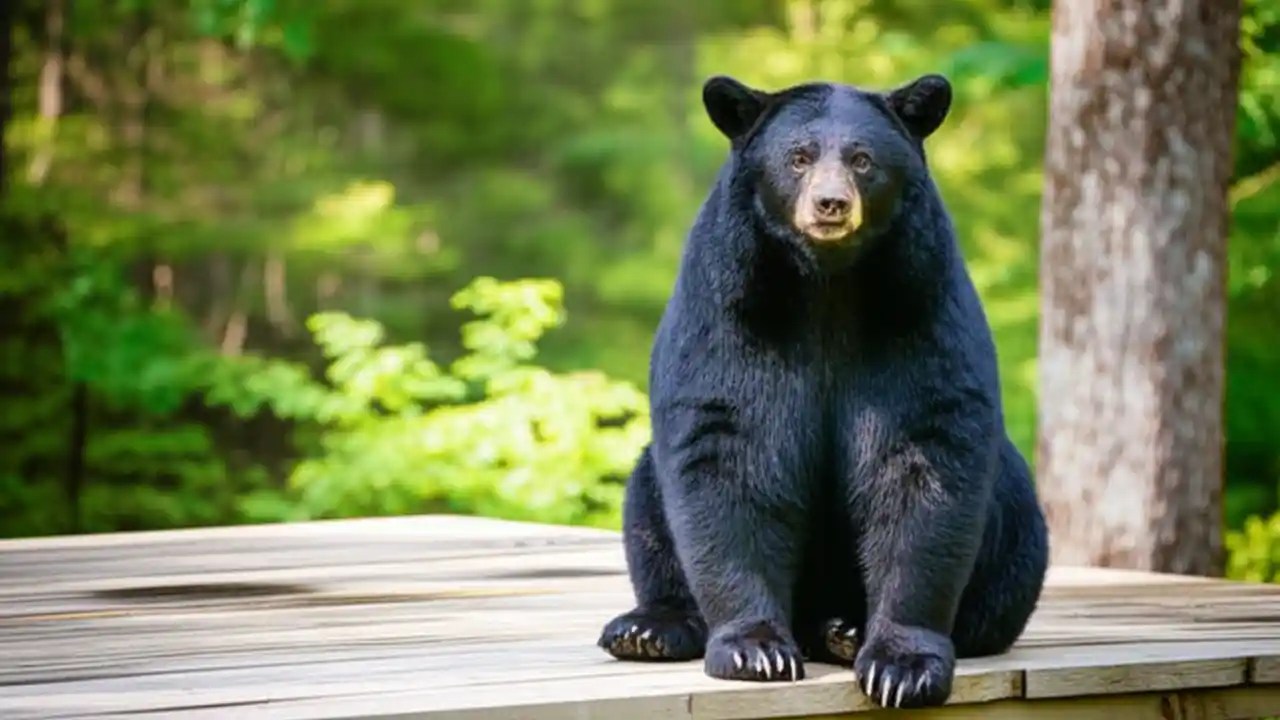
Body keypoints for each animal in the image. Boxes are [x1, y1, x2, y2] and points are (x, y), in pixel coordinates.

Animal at [596, 72, 1050, 710]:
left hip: (1011, 534)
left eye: (862, 160)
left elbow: (924, 460)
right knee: (647, 500)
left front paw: (901, 666)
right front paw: (754, 649)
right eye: (798, 157)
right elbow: (728, 449)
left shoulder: (921, 307)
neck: (827, 282)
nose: (830, 203)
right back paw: (649, 627)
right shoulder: (730, 310)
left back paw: (844, 631)